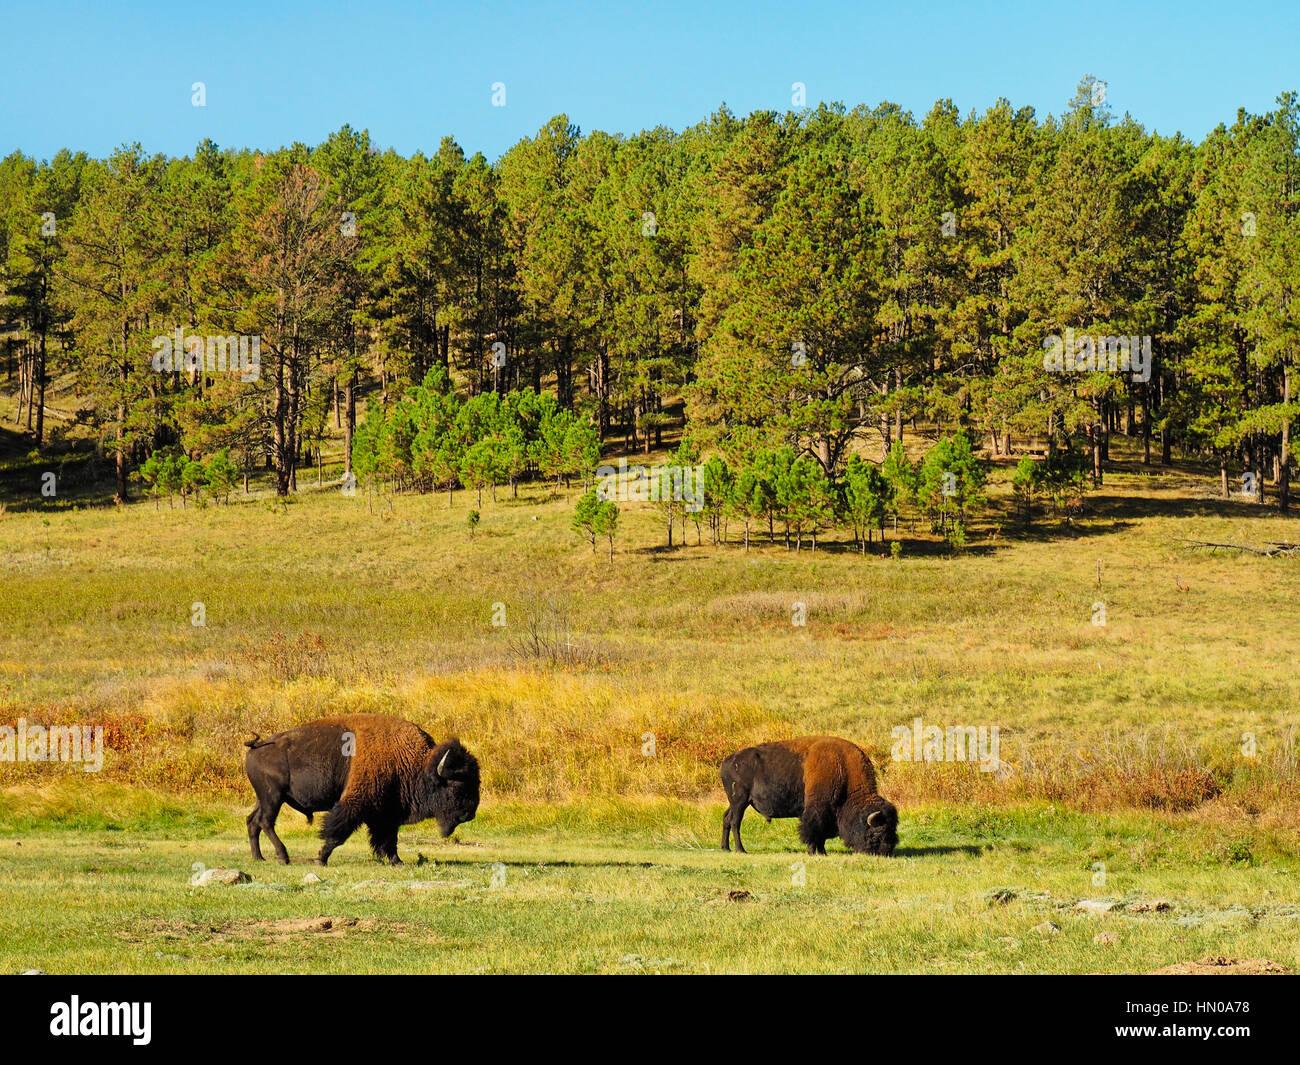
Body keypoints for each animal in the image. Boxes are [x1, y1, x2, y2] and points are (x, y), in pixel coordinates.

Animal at [244, 714, 479, 865]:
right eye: (458, 785)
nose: (469, 815)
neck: (413, 762)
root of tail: (255, 748)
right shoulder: (356, 803)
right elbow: (338, 833)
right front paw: (321, 859)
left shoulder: (386, 812)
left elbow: (388, 838)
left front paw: (397, 861)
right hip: (273, 797)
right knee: (265, 822)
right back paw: (283, 857)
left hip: (265, 798)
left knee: (253, 821)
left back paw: (259, 857)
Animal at [721, 736, 898, 856]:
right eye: (876, 833)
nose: (885, 852)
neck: (842, 769)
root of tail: (728, 761)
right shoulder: (817, 810)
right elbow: (814, 831)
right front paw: (813, 851)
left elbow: (822, 835)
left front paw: (822, 852)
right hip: (740, 801)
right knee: (735, 822)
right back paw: (740, 850)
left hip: (736, 803)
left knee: (726, 819)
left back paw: (725, 848)